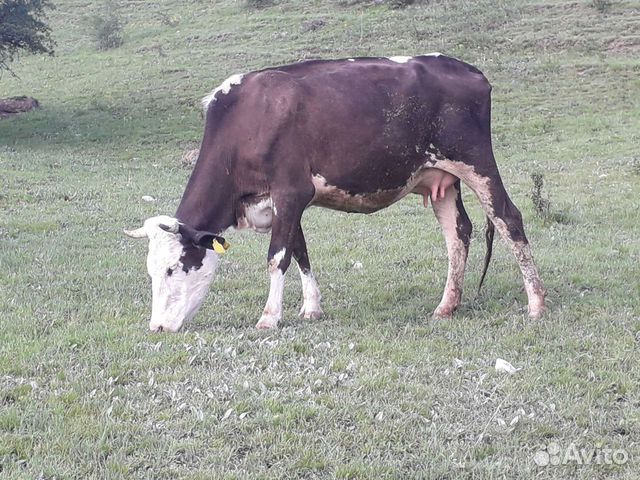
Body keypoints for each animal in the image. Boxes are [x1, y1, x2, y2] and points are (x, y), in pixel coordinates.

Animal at [125, 53, 545, 332]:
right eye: (150, 271)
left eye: (173, 267)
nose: (157, 327)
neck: (248, 119)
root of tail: (467, 69)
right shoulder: (286, 202)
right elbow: (300, 252)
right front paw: (311, 308)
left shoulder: (290, 191)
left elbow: (277, 257)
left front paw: (268, 317)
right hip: (441, 177)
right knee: (458, 234)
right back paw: (446, 306)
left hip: (476, 162)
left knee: (508, 219)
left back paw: (537, 304)